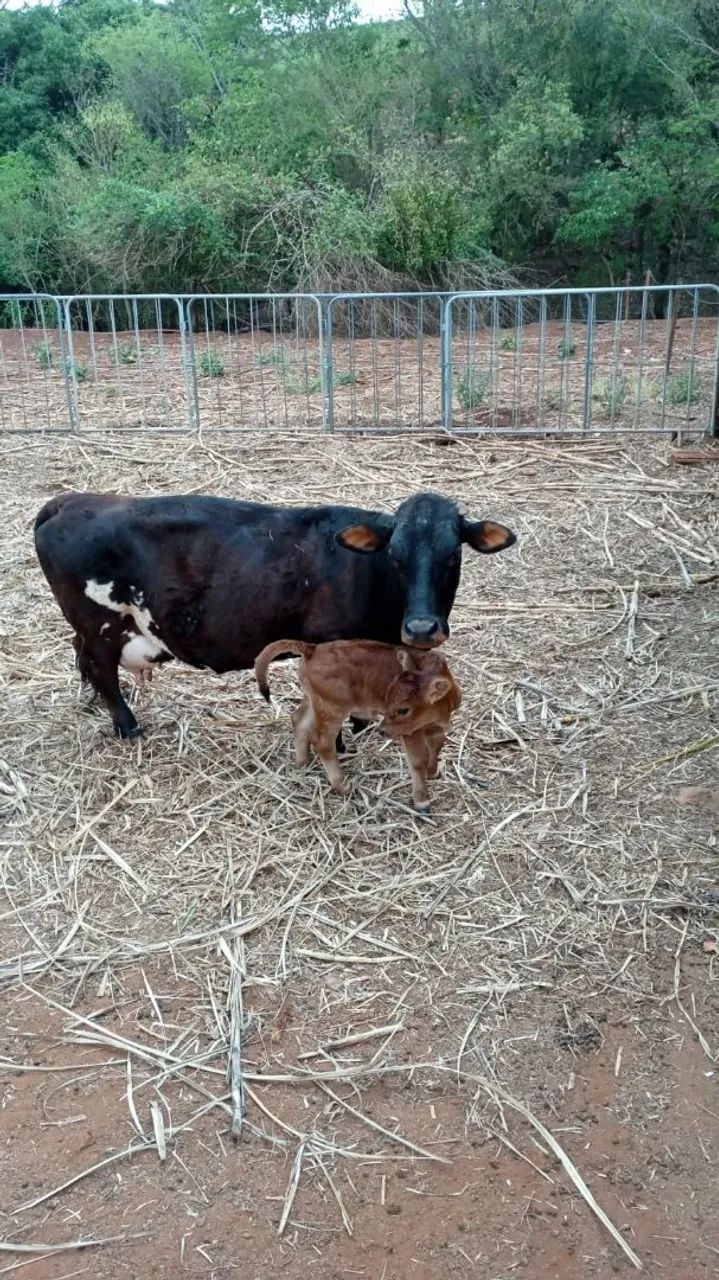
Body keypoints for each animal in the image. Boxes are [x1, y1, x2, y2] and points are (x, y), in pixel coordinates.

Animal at [33, 489, 515, 740]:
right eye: (395, 556)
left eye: (453, 555)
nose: (421, 628)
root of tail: (69, 500)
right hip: (99, 622)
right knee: (101, 668)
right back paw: (128, 726)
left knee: (85, 660)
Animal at [254, 639, 461, 813]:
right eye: (388, 699)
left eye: (403, 709)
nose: (382, 730)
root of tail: (312, 649)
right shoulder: (410, 731)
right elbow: (418, 760)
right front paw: (422, 801)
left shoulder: (434, 727)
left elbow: (437, 745)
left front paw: (433, 772)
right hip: (333, 709)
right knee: (322, 740)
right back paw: (341, 785)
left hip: (315, 701)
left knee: (298, 720)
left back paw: (303, 762)